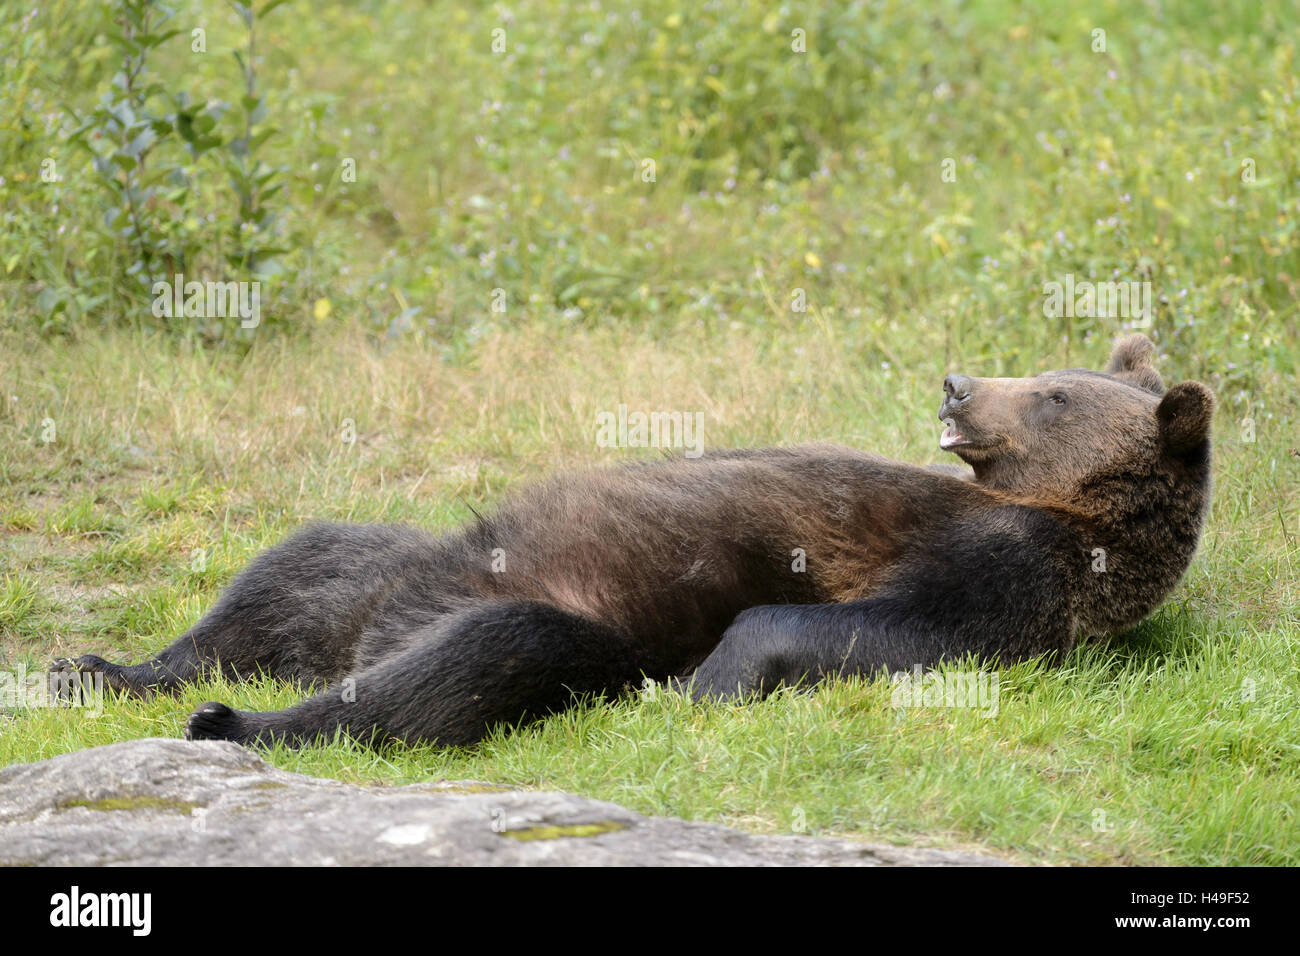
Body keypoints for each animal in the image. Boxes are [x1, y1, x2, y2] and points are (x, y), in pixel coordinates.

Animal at [50, 334, 1214, 749]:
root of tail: (378, 631)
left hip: (565, 621)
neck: (1072, 515)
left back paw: (243, 720)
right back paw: (104, 667)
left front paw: (715, 676)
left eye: (1054, 393)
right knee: (299, 563)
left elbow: (868, 622)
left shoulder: (1002, 570)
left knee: (489, 654)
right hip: (393, 567)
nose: (958, 381)